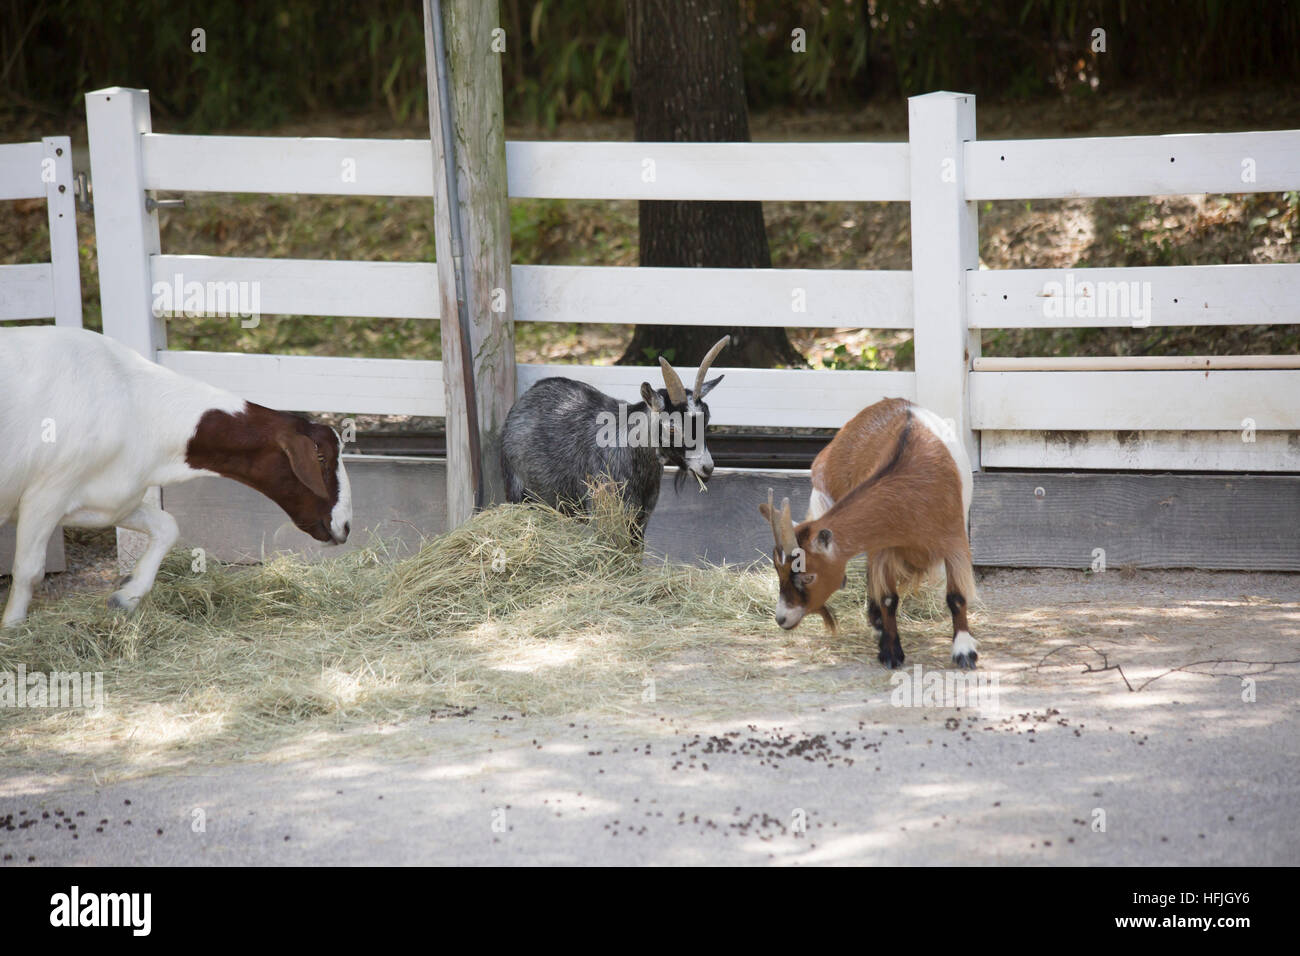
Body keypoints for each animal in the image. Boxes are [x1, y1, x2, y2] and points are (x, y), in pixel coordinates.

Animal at [1, 327, 352, 627]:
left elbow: (168, 526)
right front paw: (13, 626)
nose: (346, 526)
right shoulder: (45, 494)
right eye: (321, 458)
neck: (137, 405)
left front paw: (127, 595)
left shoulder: (108, 498)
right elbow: (29, 569)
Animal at [501, 336, 729, 538]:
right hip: (518, 489)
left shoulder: (641, 519)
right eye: (672, 428)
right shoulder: (606, 514)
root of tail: (526, 396)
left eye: (707, 419)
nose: (707, 467)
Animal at [758, 398, 977, 669]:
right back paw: (877, 624)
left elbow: (956, 596)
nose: (782, 618)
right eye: (778, 571)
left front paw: (964, 651)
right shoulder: (881, 546)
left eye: (808, 577)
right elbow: (888, 599)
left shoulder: (955, 541)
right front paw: (891, 652)